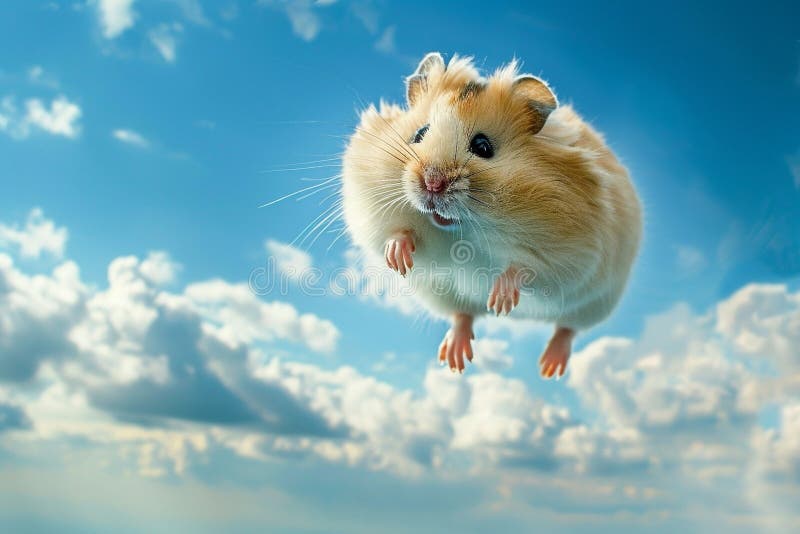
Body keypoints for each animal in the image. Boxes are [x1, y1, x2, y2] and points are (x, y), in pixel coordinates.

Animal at [341, 53, 642, 378]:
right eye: (419, 134)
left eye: (483, 146)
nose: (432, 183)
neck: (465, 227)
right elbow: (397, 232)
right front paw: (397, 261)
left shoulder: (571, 252)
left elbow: (526, 265)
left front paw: (501, 304)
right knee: (463, 316)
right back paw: (455, 360)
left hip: (593, 305)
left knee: (567, 329)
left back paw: (549, 367)